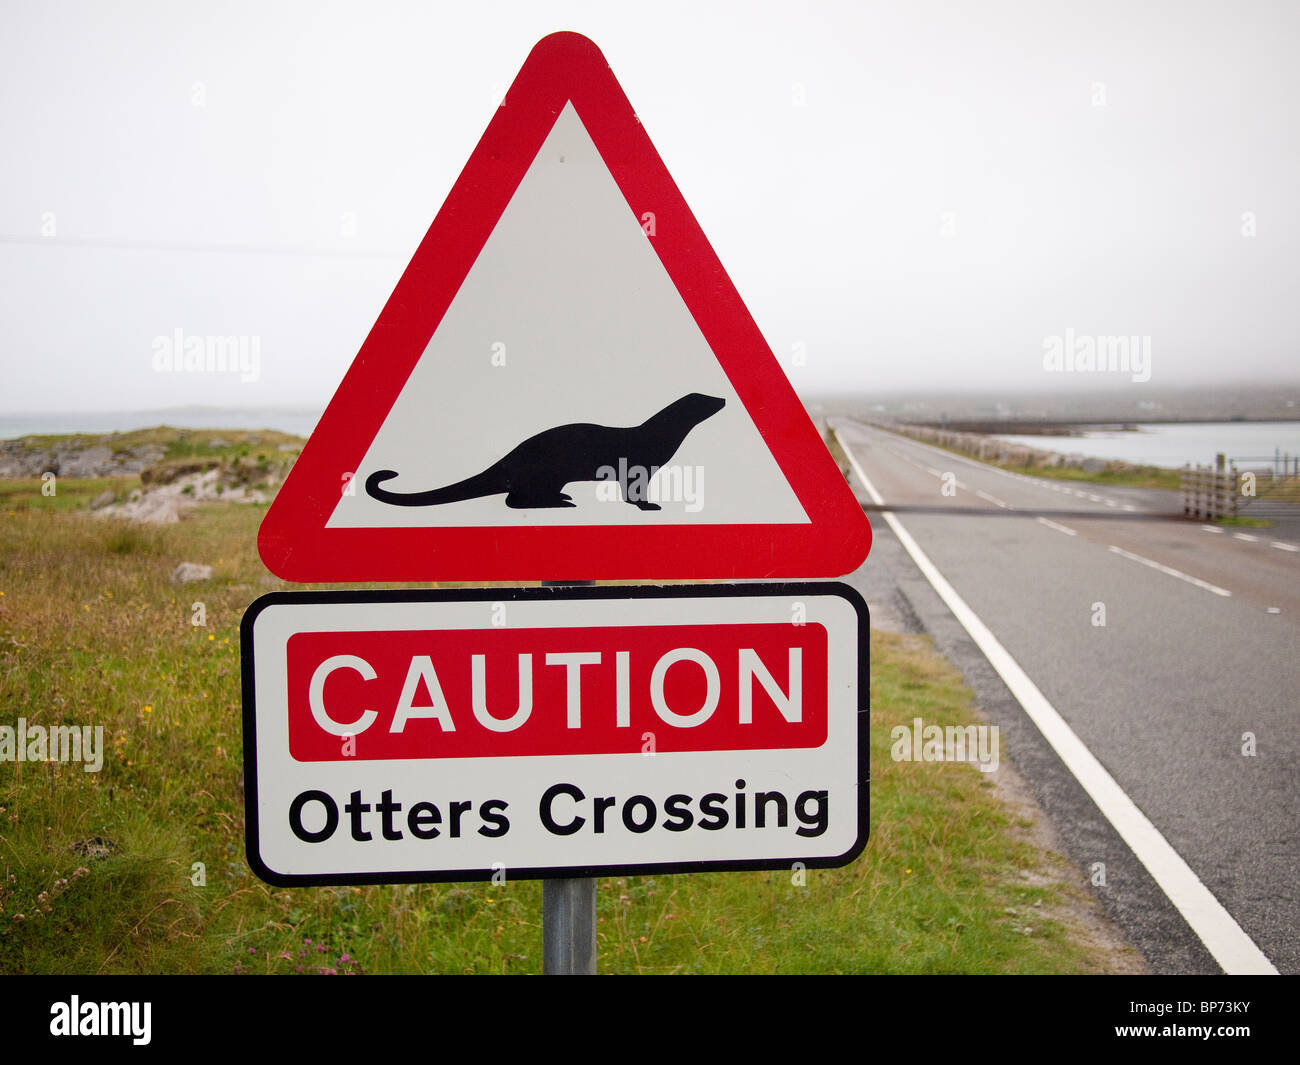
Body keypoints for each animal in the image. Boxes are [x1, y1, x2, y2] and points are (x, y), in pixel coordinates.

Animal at [365, 392, 725, 510]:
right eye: (705, 399)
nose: (722, 398)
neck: (657, 434)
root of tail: (508, 459)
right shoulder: (637, 466)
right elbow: (632, 493)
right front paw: (648, 506)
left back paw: (562, 499)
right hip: (541, 473)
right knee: (513, 501)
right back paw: (558, 504)